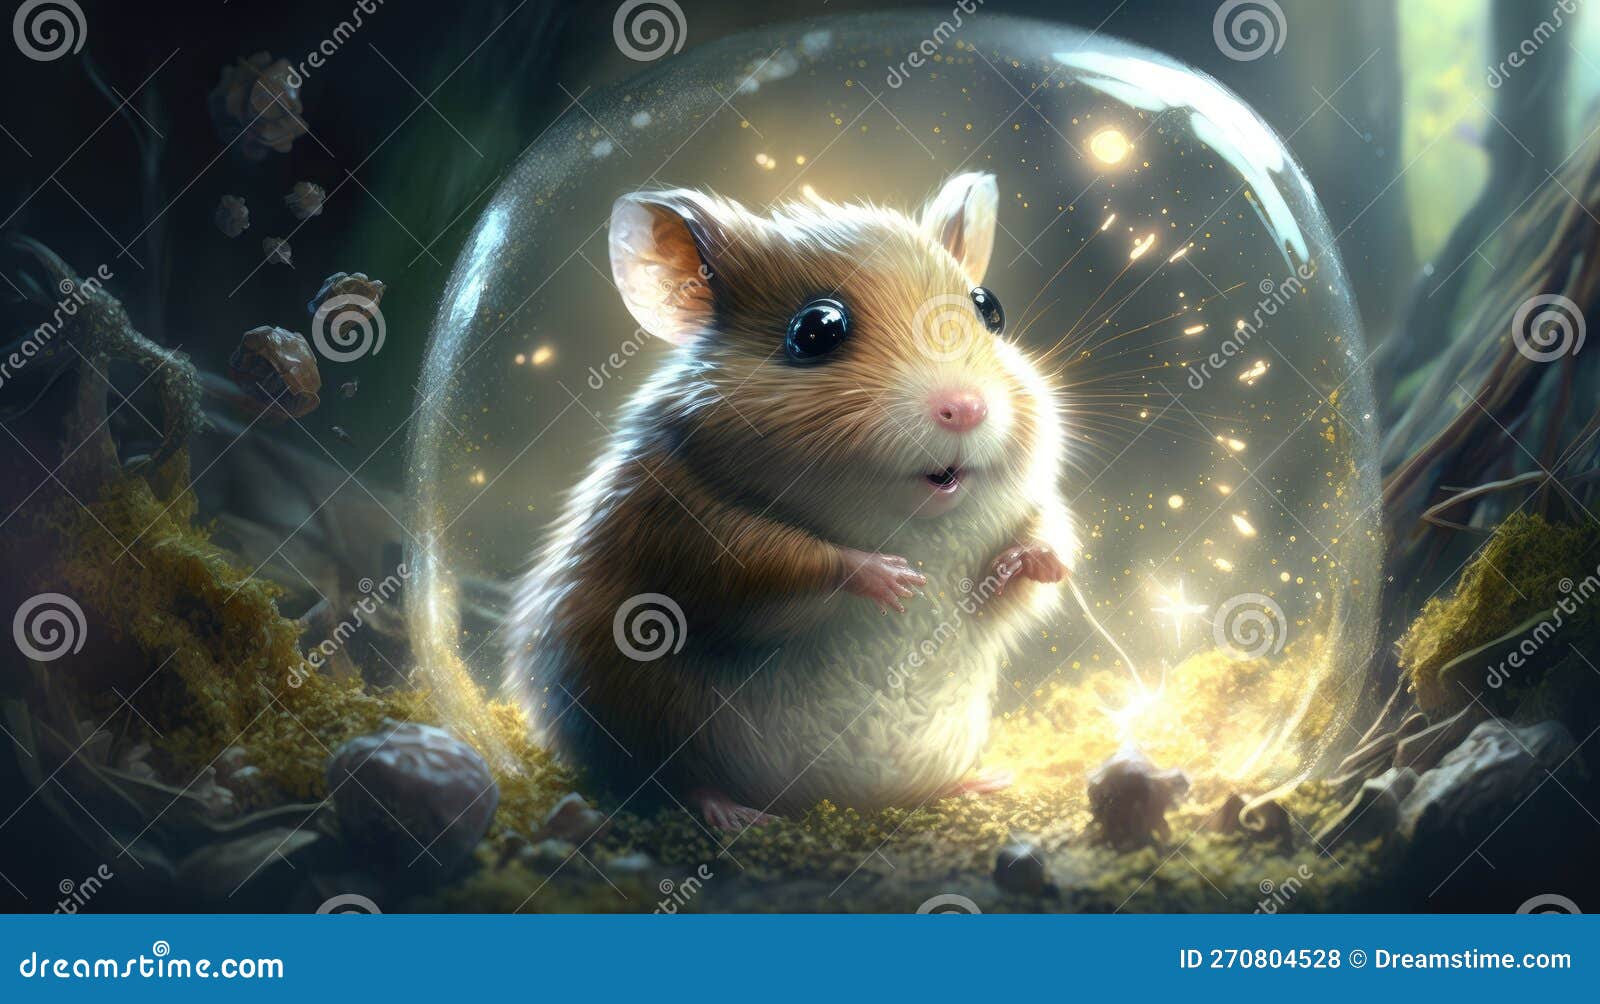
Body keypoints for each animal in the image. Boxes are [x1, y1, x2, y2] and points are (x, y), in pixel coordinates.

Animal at [505, 172, 1073, 830]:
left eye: (989, 308)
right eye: (816, 330)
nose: (967, 408)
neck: (912, 522)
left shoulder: (1027, 512)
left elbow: (1044, 546)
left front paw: (1026, 562)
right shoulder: (688, 525)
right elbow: (786, 558)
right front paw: (898, 581)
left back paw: (975, 784)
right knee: (673, 781)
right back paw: (734, 814)